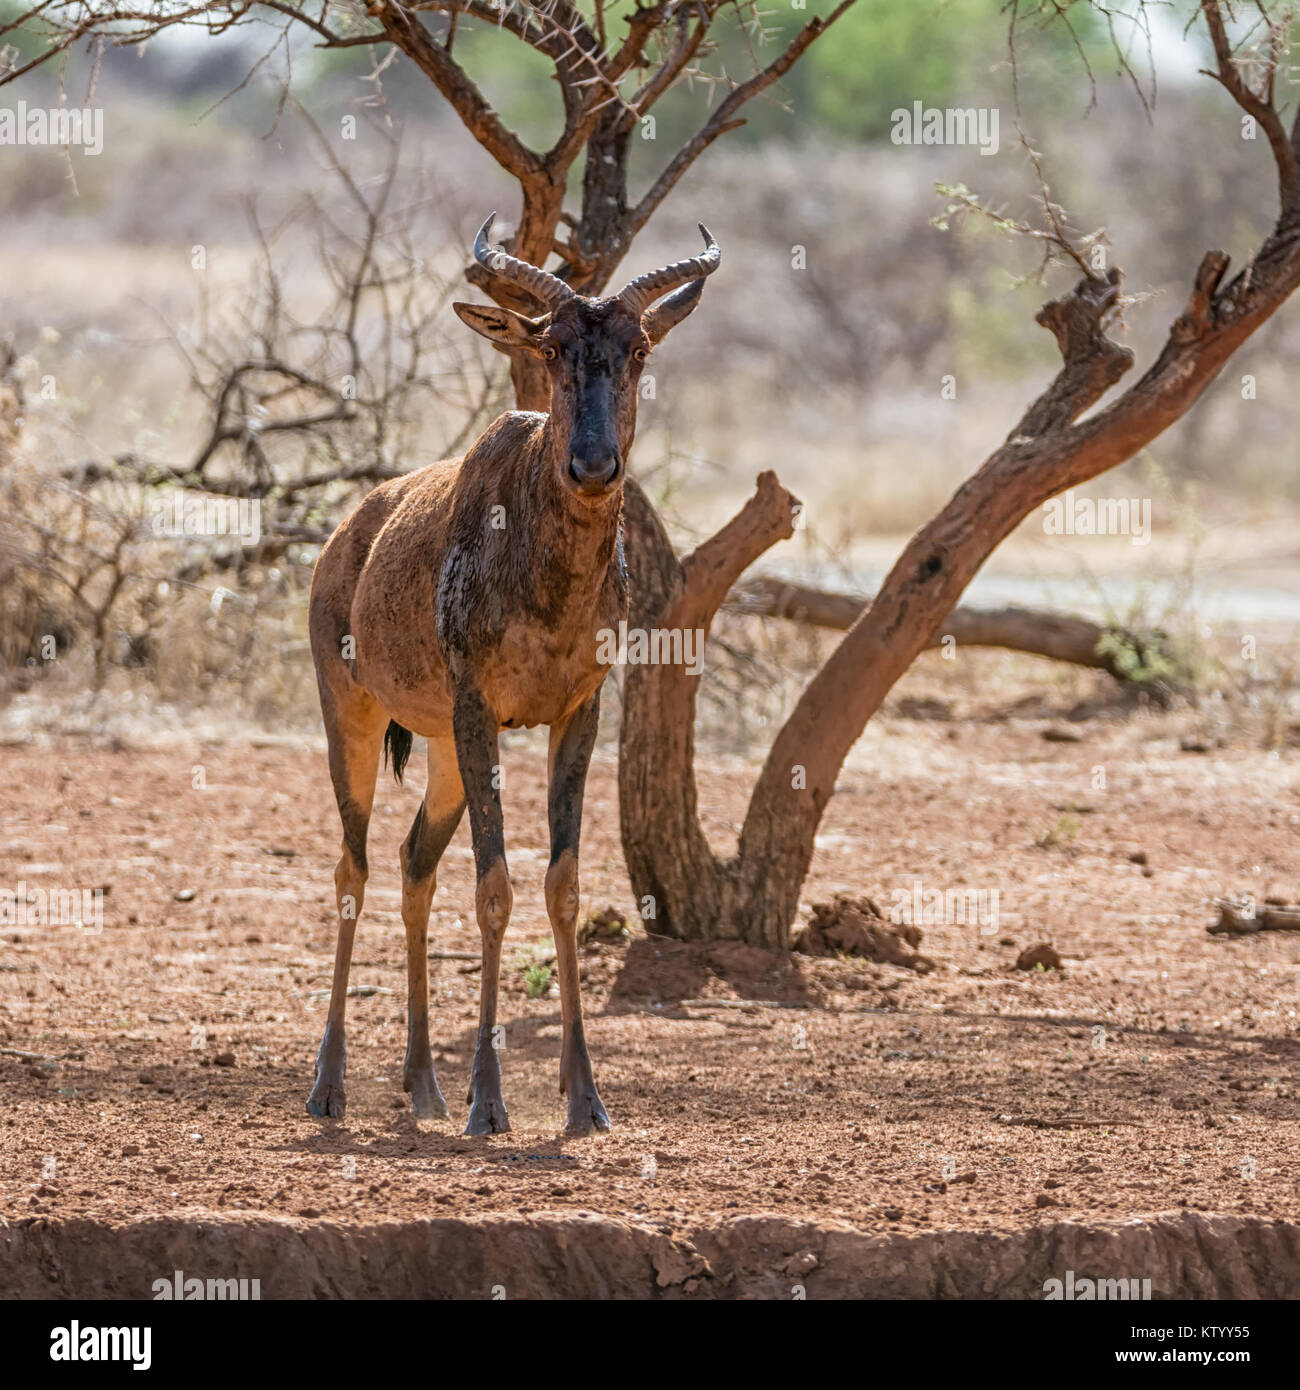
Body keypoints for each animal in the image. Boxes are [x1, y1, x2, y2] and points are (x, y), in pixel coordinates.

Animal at [305, 215, 719, 1135]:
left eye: (638, 347)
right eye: (551, 344)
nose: (594, 467)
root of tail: (347, 533)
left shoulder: (579, 713)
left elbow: (562, 885)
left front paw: (586, 1100)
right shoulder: (477, 709)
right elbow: (493, 885)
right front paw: (490, 1104)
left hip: (449, 758)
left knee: (412, 863)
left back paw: (424, 1085)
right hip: (356, 717)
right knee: (352, 866)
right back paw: (329, 1086)